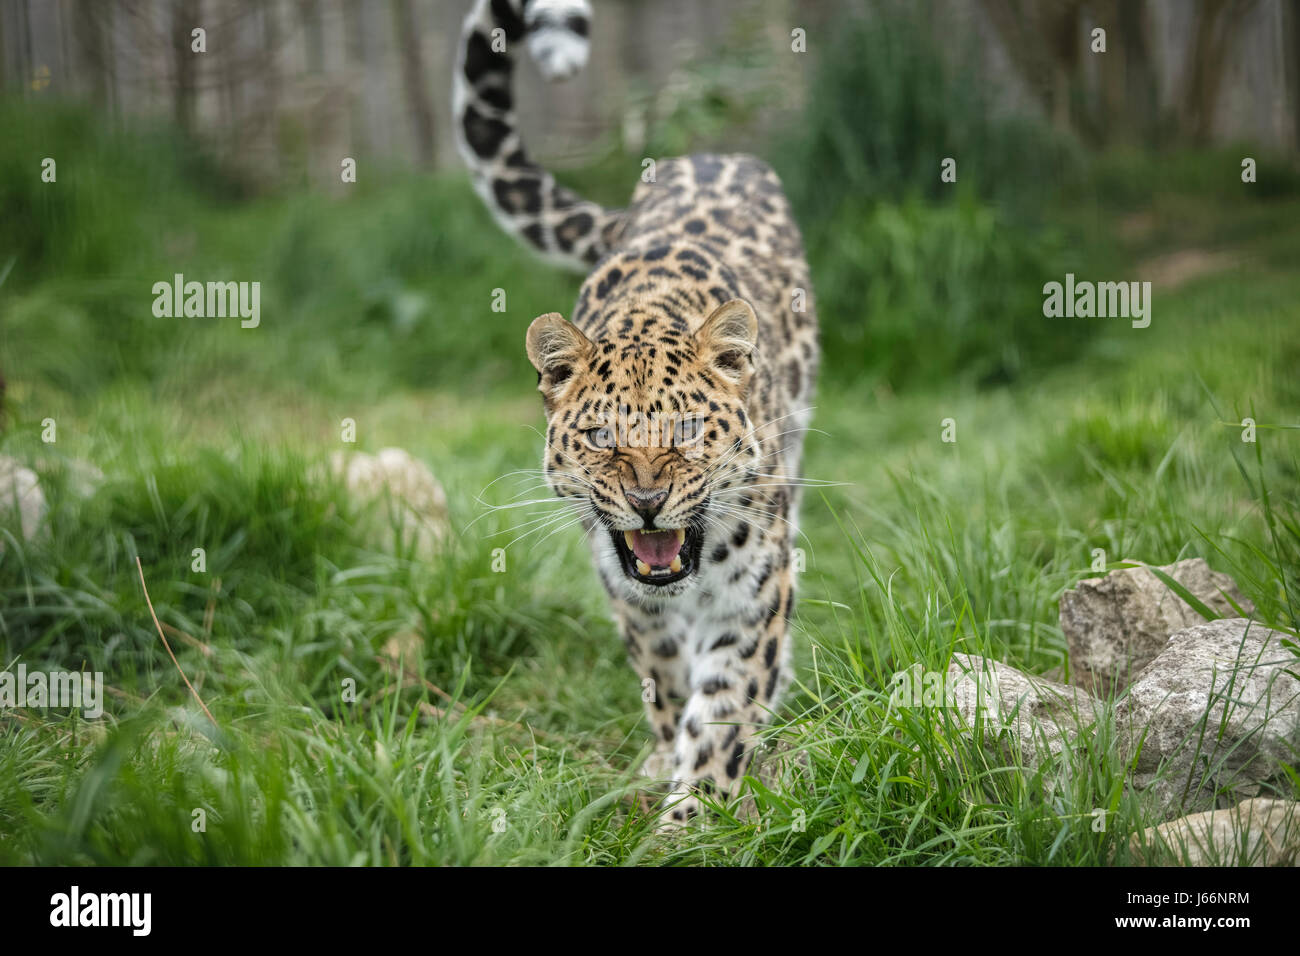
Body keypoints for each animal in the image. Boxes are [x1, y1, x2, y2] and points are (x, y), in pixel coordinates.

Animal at [454, 0, 818, 827]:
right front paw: (666, 761)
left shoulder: (753, 590)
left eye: (689, 432)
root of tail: (702, 156)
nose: (648, 500)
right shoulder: (627, 590)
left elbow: (725, 703)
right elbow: (667, 675)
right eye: (600, 437)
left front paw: (692, 820)